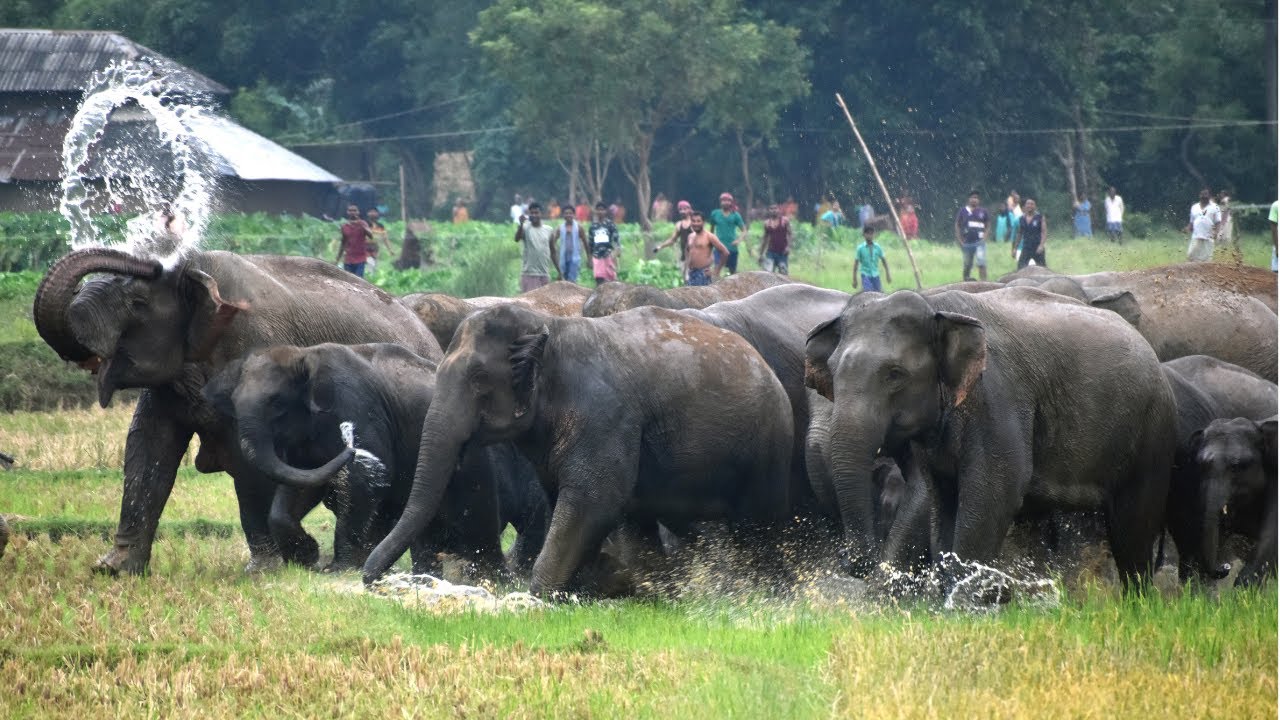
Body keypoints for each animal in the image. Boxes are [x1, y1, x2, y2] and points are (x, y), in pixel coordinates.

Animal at [32, 248, 443, 575]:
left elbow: (247, 462)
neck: (200, 272)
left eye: (137, 303)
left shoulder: (254, 347)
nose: (156, 259)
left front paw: (265, 571)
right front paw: (114, 571)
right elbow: (147, 447)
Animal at [202, 342, 548, 574]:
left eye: (276, 403)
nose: (350, 444)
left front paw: (338, 569)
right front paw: (307, 559)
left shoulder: (354, 404)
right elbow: (305, 479)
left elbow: (364, 479)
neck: (304, 355)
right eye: (232, 403)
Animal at [362, 303, 795, 596]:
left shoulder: (603, 414)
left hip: (766, 447)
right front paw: (584, 590)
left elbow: (592, 502)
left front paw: (544, 597)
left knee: (760, 528)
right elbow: (572, 502)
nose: (370, 580)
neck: (548, 327)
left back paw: (768, 596)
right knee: (651, 522)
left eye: (479, 378)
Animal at [805, 286, 1176, 587]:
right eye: (832, 371)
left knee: (1132, 530)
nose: (852, 561)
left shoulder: (997, 397)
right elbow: (943, 497)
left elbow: (995, 490)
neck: (937, 307)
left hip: (1151, 433)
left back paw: (1136, 603)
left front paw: (961, 603)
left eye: (895, 374)